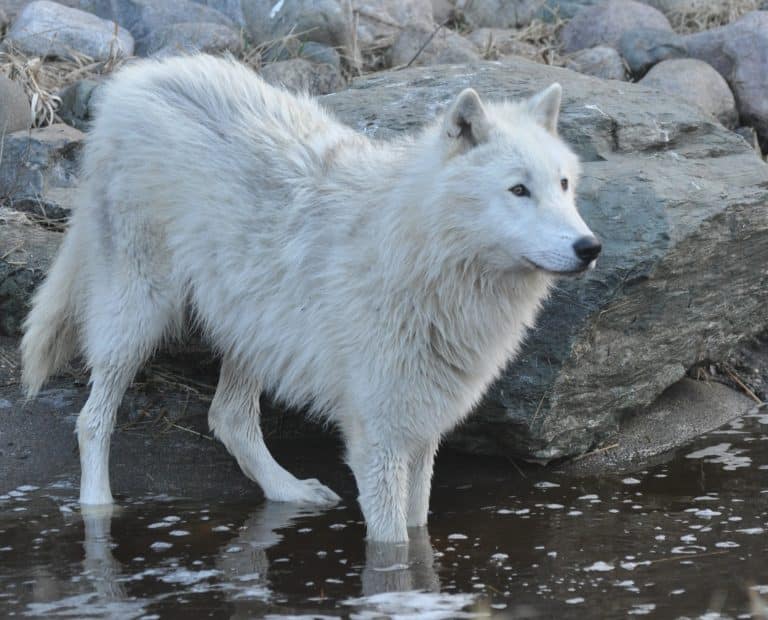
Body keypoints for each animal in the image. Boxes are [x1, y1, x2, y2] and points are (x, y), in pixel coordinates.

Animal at [21, 55, 600, 542]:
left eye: (563, 184)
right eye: (518, 190)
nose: (589, 247)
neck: (428, 261)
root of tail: (135, 79)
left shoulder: (420, 431)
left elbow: (418, 530)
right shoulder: (378, 440)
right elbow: (393, 548)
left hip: (252, 326)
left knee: (227, 418)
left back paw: (289, 490)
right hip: (139, 317)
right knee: (92, 420)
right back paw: (98, 510)